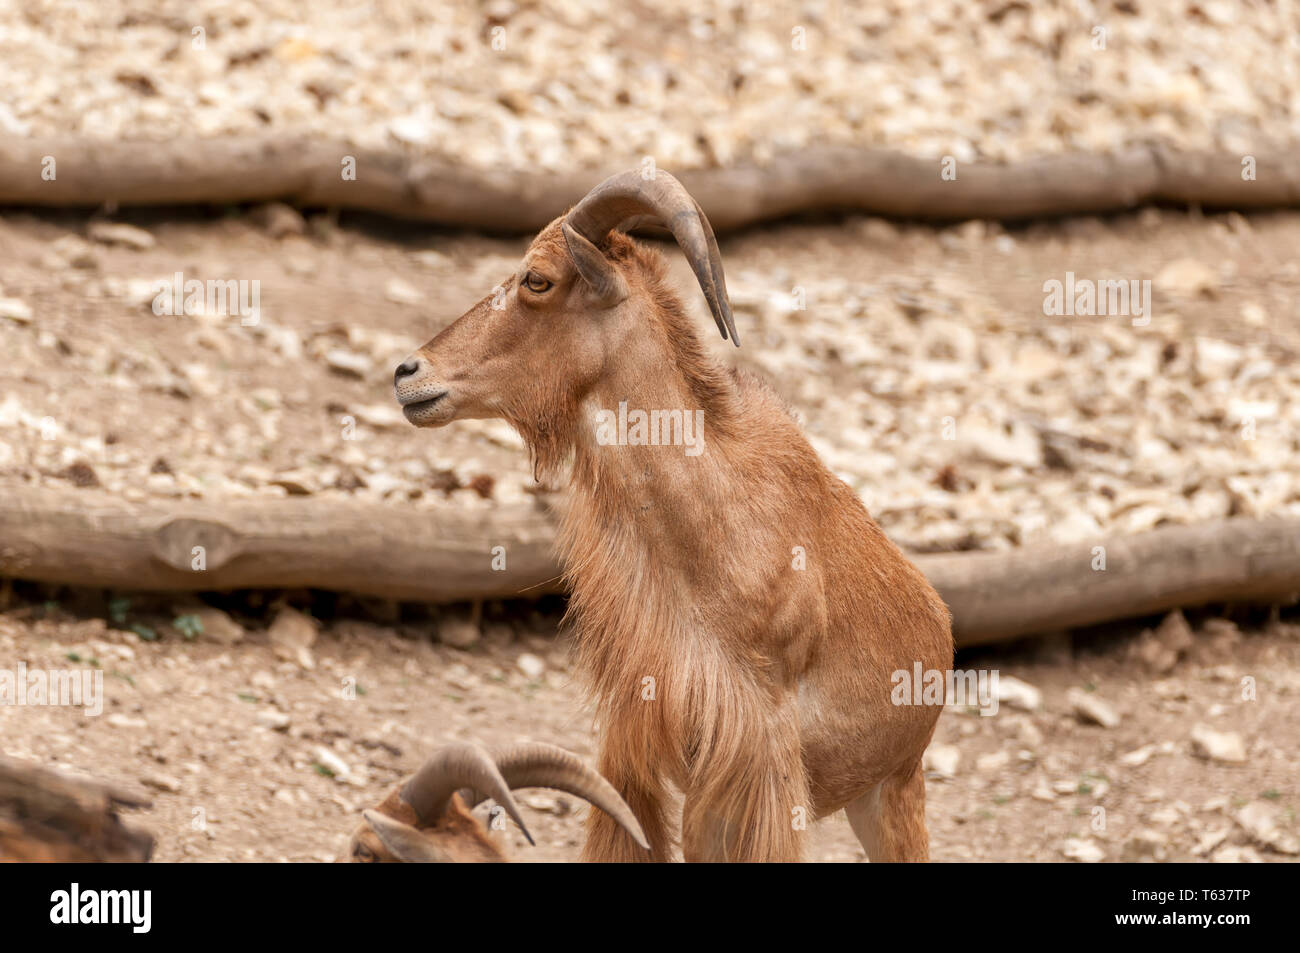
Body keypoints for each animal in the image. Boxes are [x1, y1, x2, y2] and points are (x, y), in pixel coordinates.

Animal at [393, 169, 954, 862]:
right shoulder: (640, 749)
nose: (408, 373)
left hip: (891, 789)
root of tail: (939, 631)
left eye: (536, 279)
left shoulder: (758, 770)